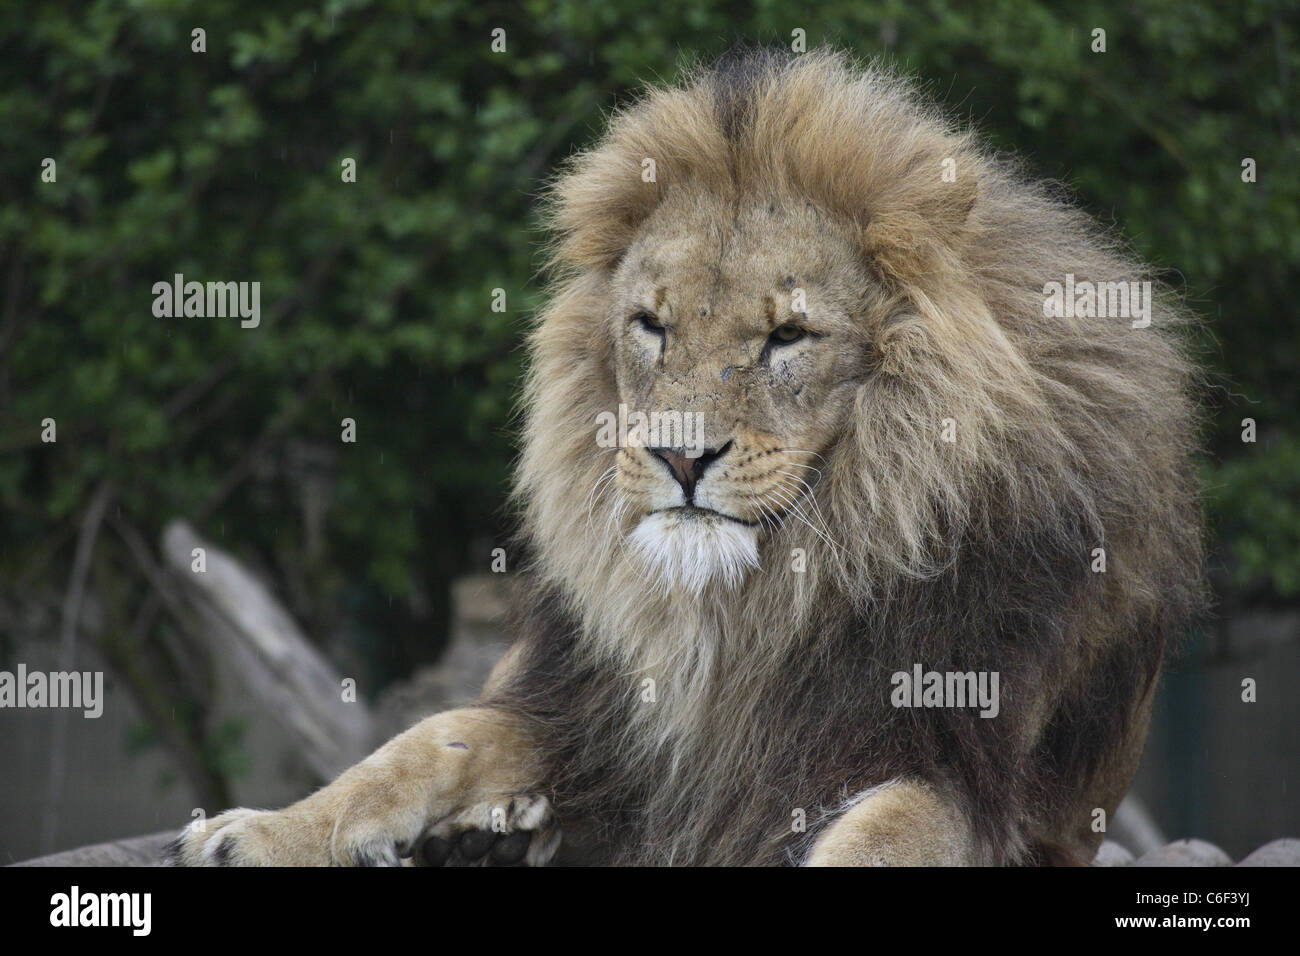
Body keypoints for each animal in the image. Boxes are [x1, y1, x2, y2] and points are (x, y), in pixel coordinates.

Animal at [170, 48, 1204, 867]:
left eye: (788, 334)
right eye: (651, 325)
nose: (676, 458)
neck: (744, 614)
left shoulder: (957, 771)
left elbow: (884, 832)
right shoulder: (581, 708)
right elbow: (425, 743)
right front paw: (262, 831)